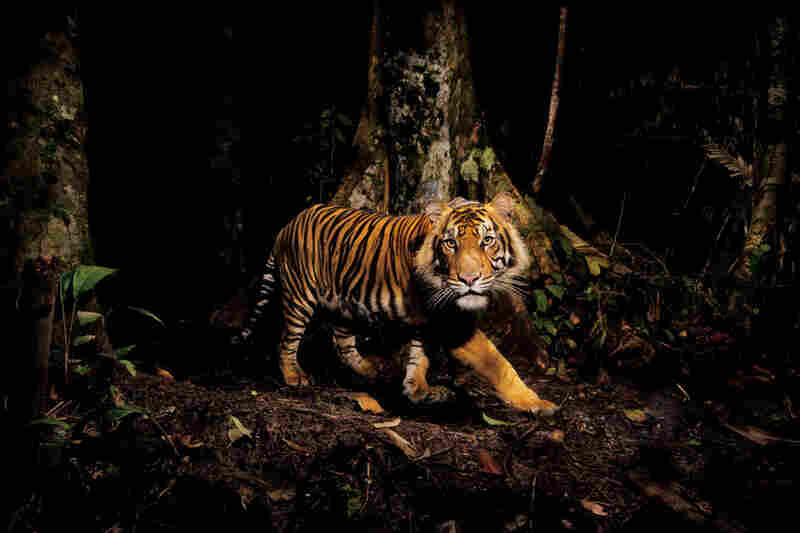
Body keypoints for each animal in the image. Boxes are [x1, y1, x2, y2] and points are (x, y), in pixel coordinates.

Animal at [234, 193, 558, 416]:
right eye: (450, 243)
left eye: (487, 241)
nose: (469, 279)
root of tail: (286, 226)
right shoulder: (451, 323)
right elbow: (498, 363)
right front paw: (537, 403)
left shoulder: (428, 322)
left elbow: (419, 357)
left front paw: (418, 390)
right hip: (300, 296)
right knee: (286, 339)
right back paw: (294, 376)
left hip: (344, 302)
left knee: (341, 340)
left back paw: (370, 369)